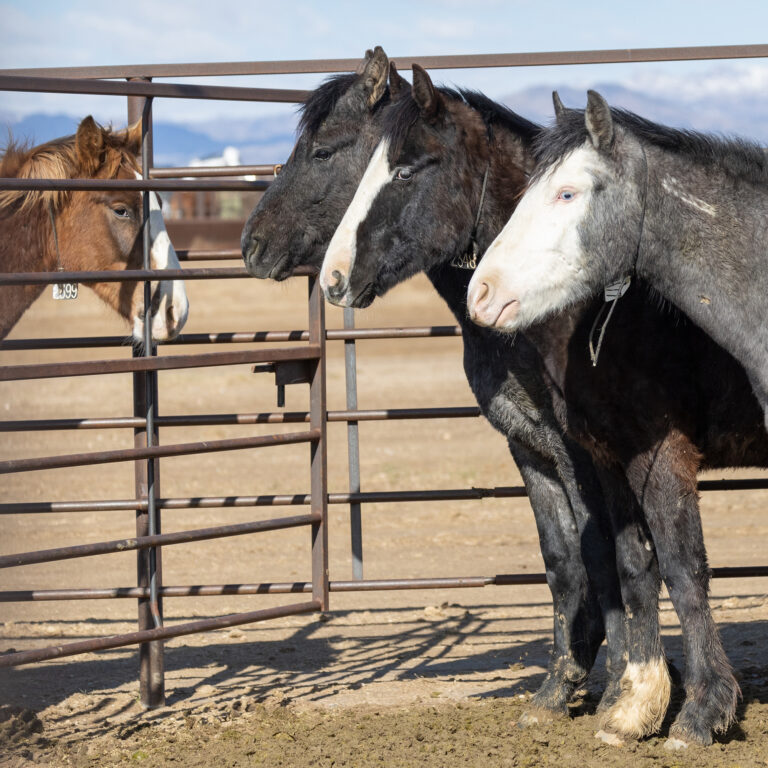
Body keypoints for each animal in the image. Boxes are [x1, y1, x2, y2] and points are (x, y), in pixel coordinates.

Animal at [243, 51, 628, 726]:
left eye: (323, 150)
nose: (252, 245)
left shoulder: (586, 455)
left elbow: (606, 558)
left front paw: (616, 691)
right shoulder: (532, 448)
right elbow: (563, 562)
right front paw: (559, 687)